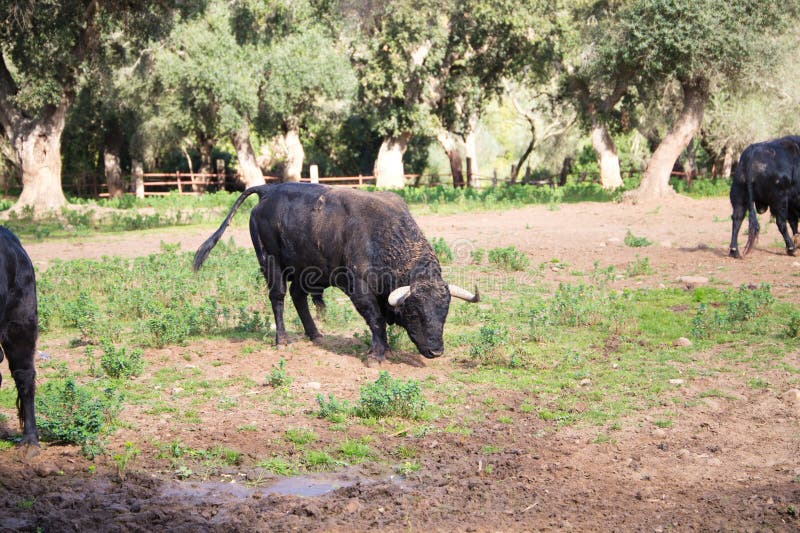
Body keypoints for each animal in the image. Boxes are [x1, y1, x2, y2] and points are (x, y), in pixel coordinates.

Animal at [193, 183, 479, 363]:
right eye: (414, 312)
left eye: (444, 312)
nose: (436, 351)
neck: (384, 235)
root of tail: (268, 191)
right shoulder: (359, 288)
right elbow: (375, 318)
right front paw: (377, 353)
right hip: (271, 263)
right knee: (278, 297)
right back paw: (282, 339)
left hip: (305, 269)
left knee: (298, 297)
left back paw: (315, 334)